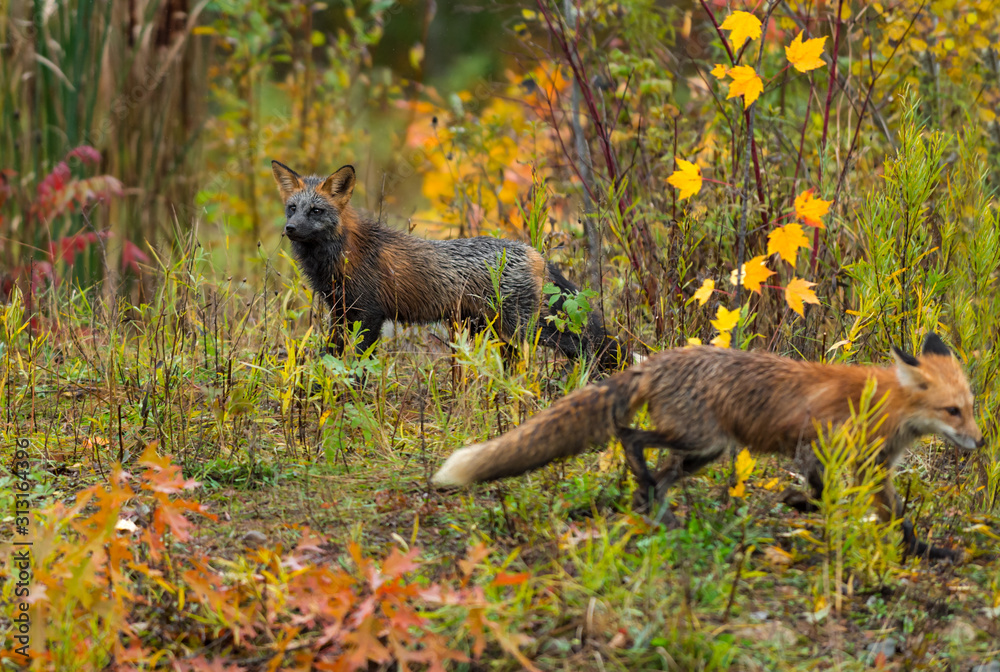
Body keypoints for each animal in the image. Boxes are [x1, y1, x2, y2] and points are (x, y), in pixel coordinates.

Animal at [271, 160, 622, 368]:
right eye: (292, 208)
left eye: (316, 211)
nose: (289, 229)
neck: (341, 257)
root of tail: (533, 251)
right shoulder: (340, 313)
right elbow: (328, 358)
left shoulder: (370, 314)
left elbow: (358, 365)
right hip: (502, 333)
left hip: (528, 327)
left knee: (587, 344)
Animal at [433, 334, 985, 560]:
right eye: (952, 412)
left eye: (971, 407)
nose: (981, 441)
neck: (884, 406)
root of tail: (657, 360)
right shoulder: (813, 449)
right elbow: (821, 496)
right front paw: (797, 504)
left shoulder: (875, 470)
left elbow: (900, 519)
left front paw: (929, 553)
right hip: (702, 441)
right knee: (630, 437)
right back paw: (650, 498)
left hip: (703, 454)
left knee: (658, 477)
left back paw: (654, 512)